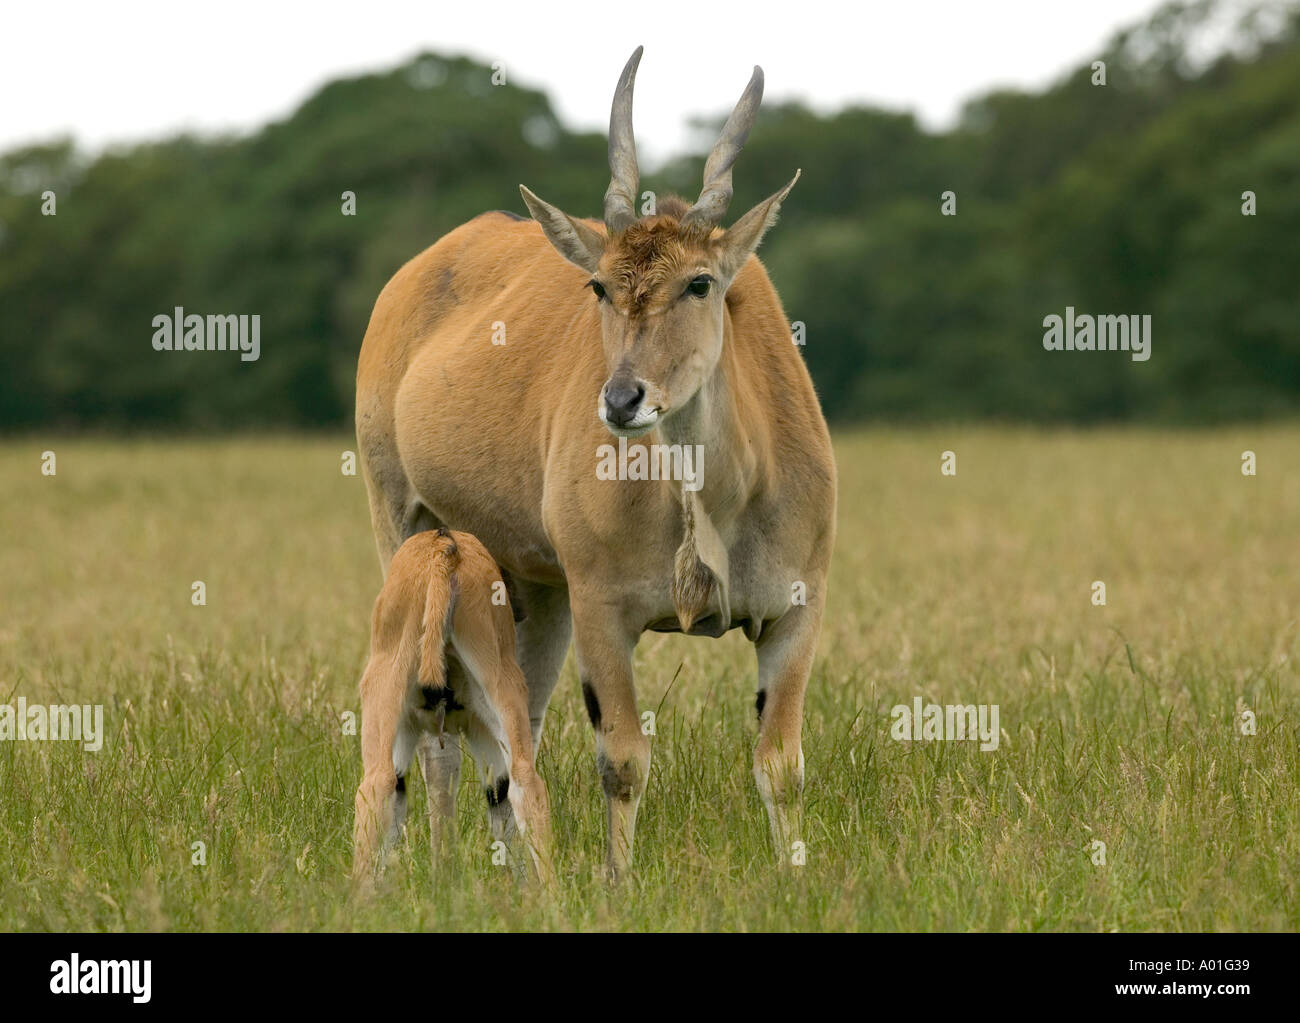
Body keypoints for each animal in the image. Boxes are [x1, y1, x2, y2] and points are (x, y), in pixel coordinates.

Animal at [356, 47, 836, 878]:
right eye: (600, 286)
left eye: (700, 282)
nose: (620, 399)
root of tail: (408, 277)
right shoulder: (602, 608)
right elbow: (623, 760)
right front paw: (619, 880)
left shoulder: (795, 609)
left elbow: (781, 763)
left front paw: (793, 875)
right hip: (409, 535)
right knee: (444, 734)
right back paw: (445, 866)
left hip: (532, 593)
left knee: (515, 736)